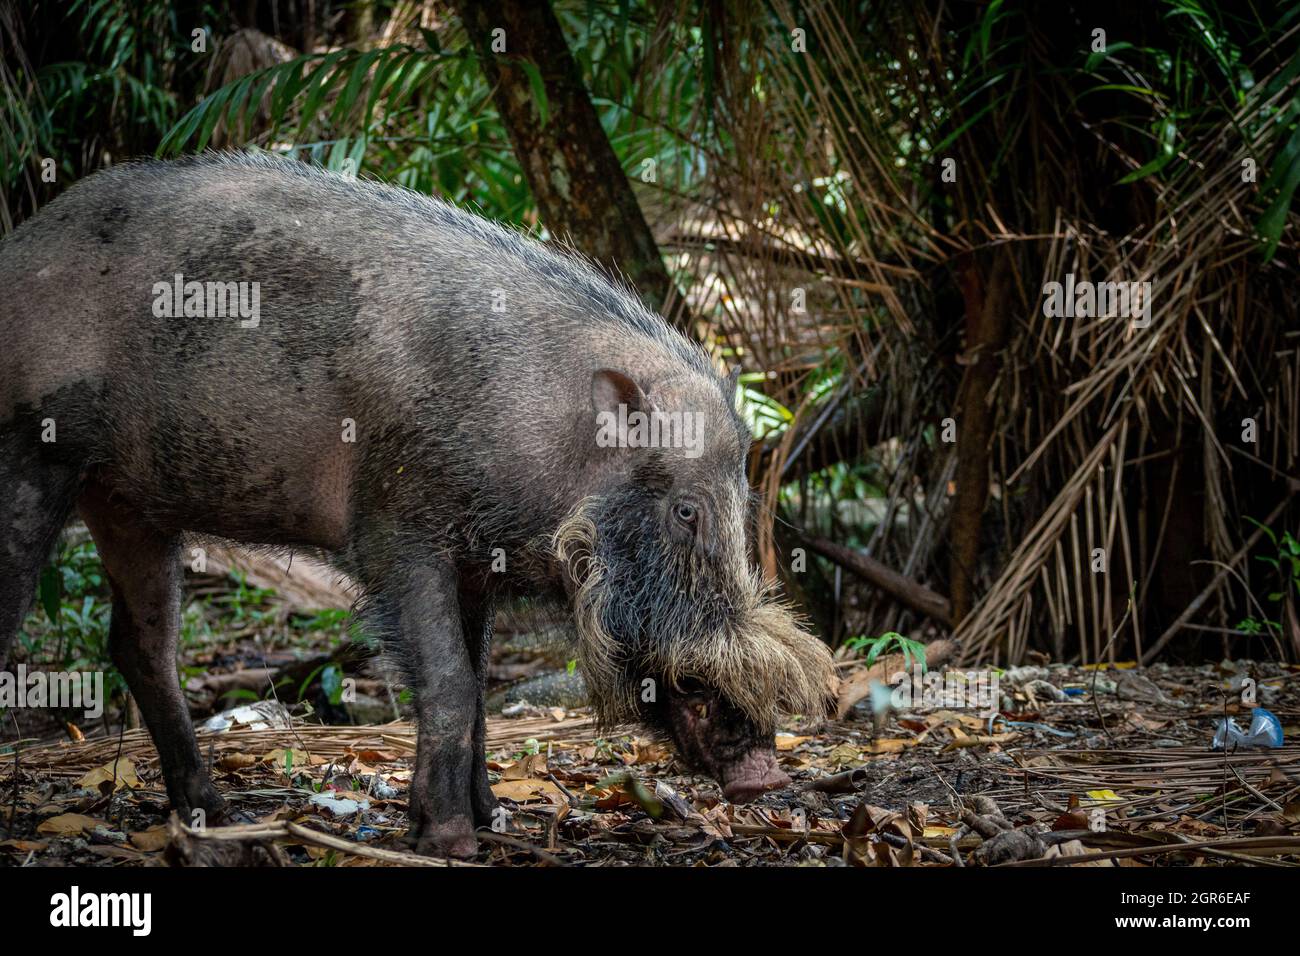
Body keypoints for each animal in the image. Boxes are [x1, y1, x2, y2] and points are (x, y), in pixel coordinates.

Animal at [0, 153, 836, 857]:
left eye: (742, 500)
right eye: (686, 510)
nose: (767, 775)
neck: (549, 439)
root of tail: (19, 241)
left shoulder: (476, 563)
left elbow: (480, 688)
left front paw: (492, 822)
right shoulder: (394, 532)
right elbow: (449, 683)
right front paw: (450, 843)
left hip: (125, 502)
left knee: (141, 649)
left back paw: (217, 822)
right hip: (34, 457)